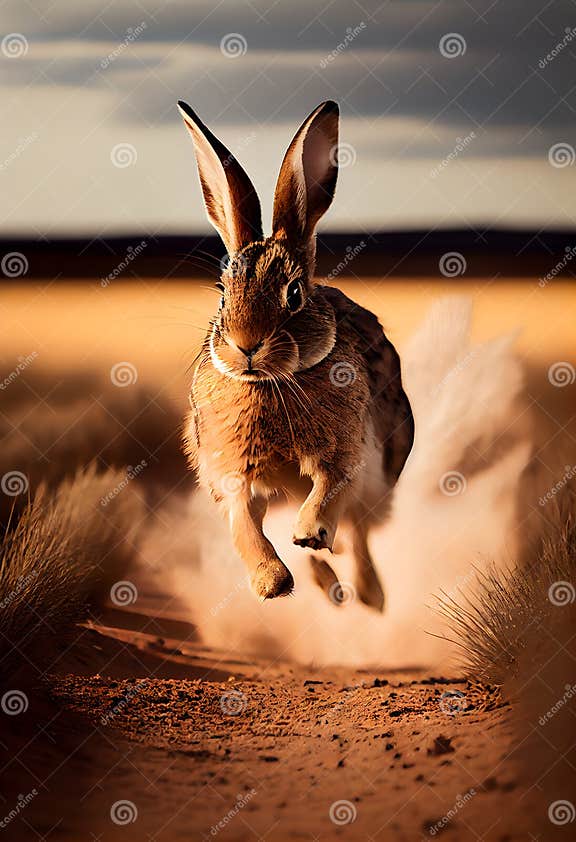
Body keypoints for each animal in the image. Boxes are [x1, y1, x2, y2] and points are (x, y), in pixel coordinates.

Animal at [178, 98, 414, 611]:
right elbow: (246, 528)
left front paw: (310, 533)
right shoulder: (233, 476)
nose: (246, 344)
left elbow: (327, 492)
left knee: (358, 535)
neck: (272, 382)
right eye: (223, 294)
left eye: (294, 294)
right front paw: (271, 582)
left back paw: (366, 594)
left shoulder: (345, 455)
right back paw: (329, 588)